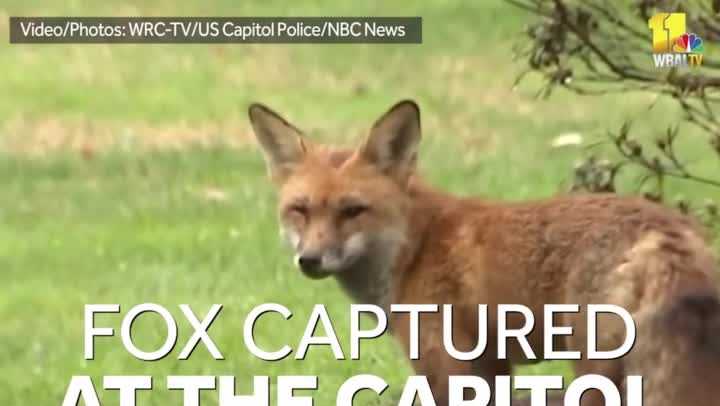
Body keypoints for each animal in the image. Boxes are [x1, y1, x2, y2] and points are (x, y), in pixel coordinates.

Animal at [248, 99, 720, 406]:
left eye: (352, 211)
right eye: (299, 210)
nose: (310, 259)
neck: (414, 249)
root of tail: (667, 231)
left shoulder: (449, 369)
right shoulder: (492, 368)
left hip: (594, 373)